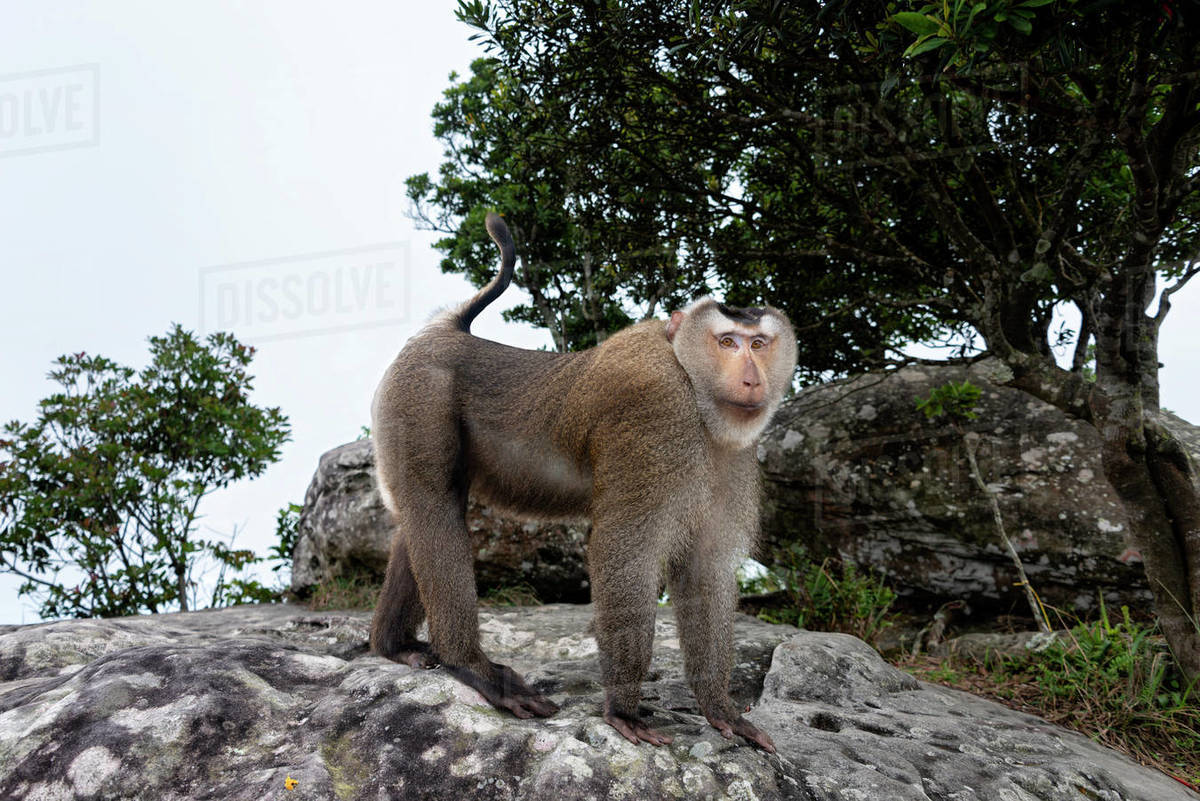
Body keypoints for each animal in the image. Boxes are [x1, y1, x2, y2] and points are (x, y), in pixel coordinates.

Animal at [369, 212, 796, 752]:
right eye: (727, 342)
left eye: (758, 343)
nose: (751, 378)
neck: (691, 385)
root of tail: (446, 332)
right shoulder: (654, 417)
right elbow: (624, 549)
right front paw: (624, 708)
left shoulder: (732, 455)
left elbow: (704, 568)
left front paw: (719, 707)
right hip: (417, 395)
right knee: (433, 509)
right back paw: (469, 665)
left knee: (424, 517)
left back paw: (393, 645)